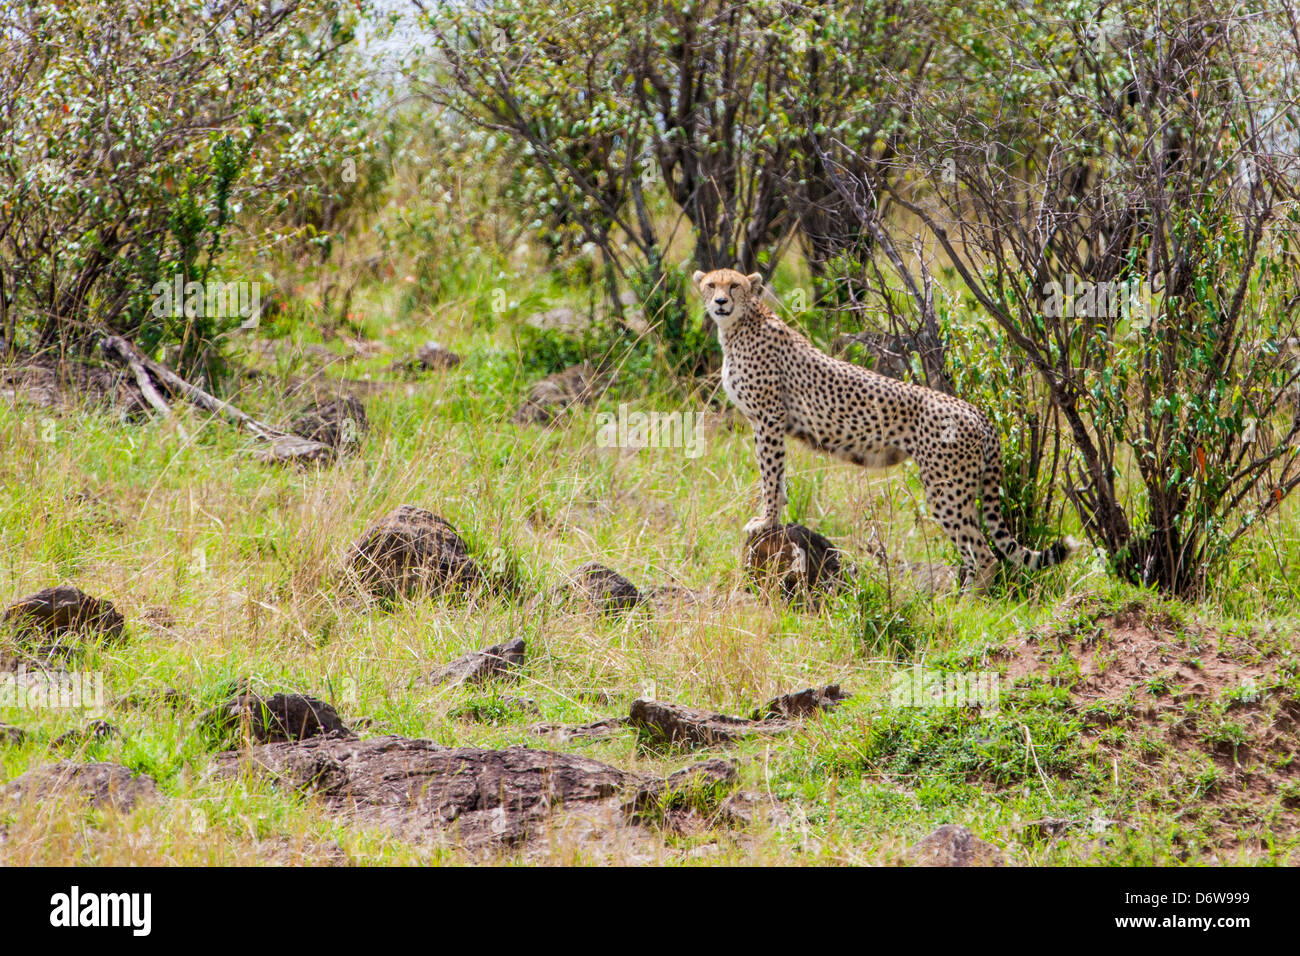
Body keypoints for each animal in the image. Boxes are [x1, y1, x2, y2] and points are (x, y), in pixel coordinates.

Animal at [693, 268, 1080, 590]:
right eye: (711, 284)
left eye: (734, 285)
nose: (720, 302)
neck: (740, 325)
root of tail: (975, 411)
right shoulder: (767, 420)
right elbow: (777, 477)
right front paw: (772, 515)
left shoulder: (769, 417)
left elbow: (770, 475)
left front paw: (766, 520)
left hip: (946, 488)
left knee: (984, 555)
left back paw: (966, 607)